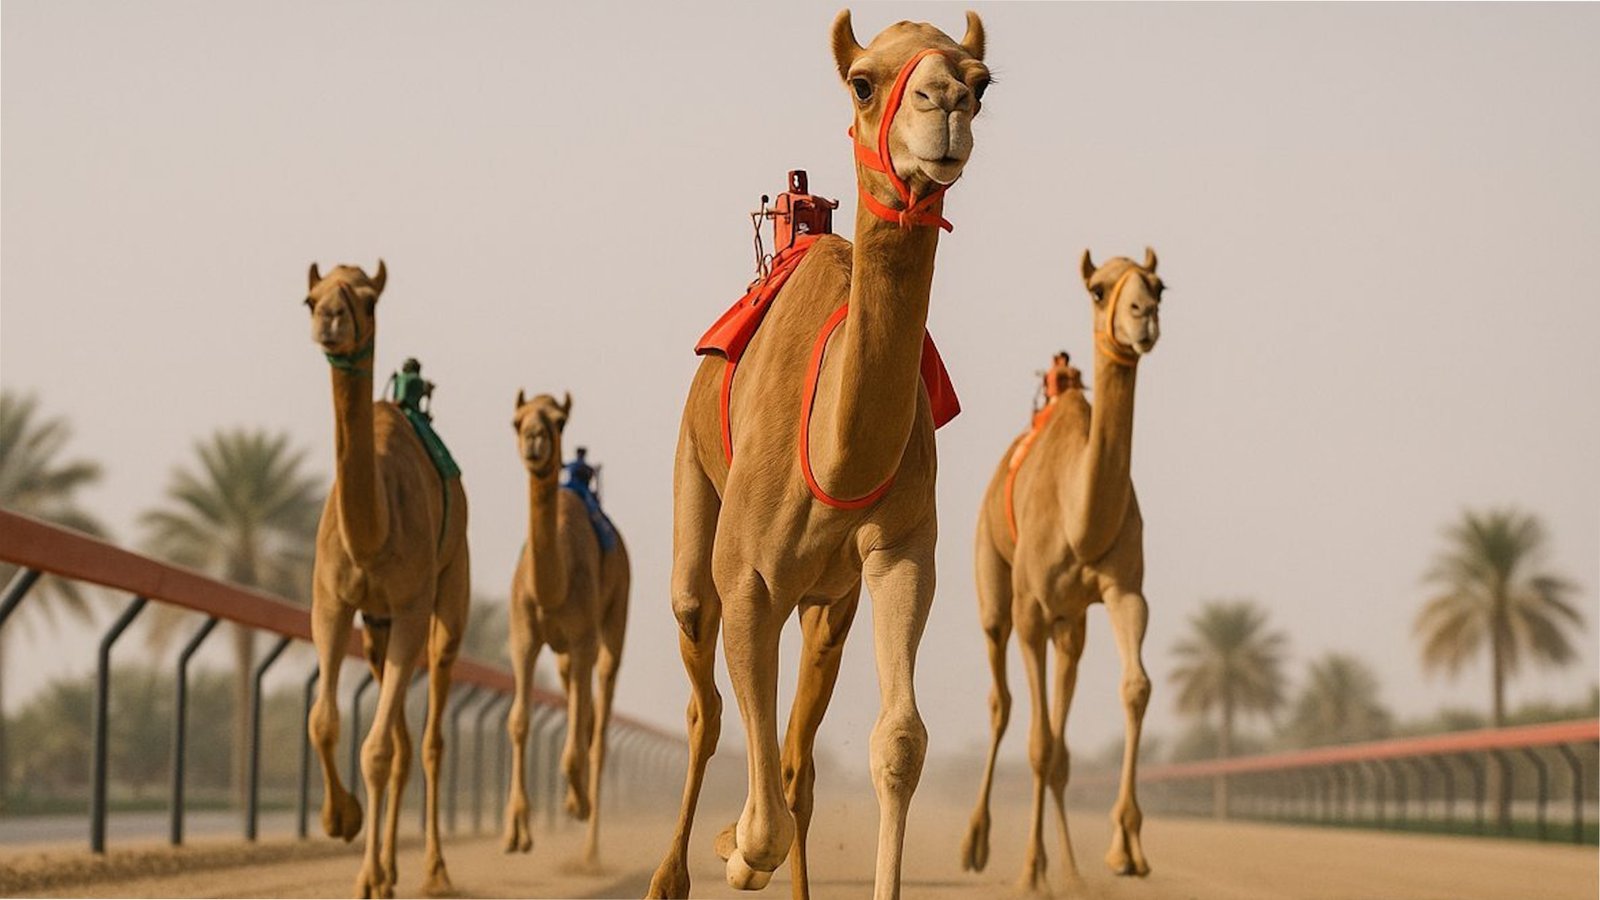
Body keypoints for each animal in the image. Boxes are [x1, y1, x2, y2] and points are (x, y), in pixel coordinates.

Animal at [302, 261, 471, 898]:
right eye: (310, 298)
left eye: (367, 299)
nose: (331, 319)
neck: (370, 537)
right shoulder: (330, 603)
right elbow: (325, 722)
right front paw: (341, 823)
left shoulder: (411, 605)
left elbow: (373, 750)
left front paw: (367, 866)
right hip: (374, 630)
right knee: (398, 743)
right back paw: (389, 866)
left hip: (448, 592)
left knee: (427, 741)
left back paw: (435, 870)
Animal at [502, 391, 630, 867]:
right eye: (516, 420)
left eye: (558, 420)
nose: (535, 439)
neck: (550, 590)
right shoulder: (523, 638)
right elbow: (519, 720)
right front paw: (516, 832)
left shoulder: (583, 639)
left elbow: (578, 726)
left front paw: (576, 802)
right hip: (560, 653)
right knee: (584, 706)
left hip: (614, 618)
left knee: (600, 715)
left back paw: (589, 845)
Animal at [646, 11, 991, 900]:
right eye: (864, 82)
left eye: (981, 82)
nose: (944, 104)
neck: (839, 460)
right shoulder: (747, 578)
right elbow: (759, 806)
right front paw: (734, 848)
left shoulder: (901, 552)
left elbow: (895, 744)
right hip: (694, 507)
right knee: (704, 710)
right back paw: (672, 873)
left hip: (827, 603)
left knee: (798, 761)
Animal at [959, 249, 1166, 892]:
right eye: (1099, 290)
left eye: (1159, 286)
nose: (1143, 316)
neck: (1081, 521)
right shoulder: (1030, 607)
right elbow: (1037, 742)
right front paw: (1030, 870)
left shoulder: (1125, 591)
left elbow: (1135, 687)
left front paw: (1125, 849)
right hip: (994, 584)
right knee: (1002, 705)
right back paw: (978, 845)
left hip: (1071, 624)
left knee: (1062, 738)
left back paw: (1071, 868)